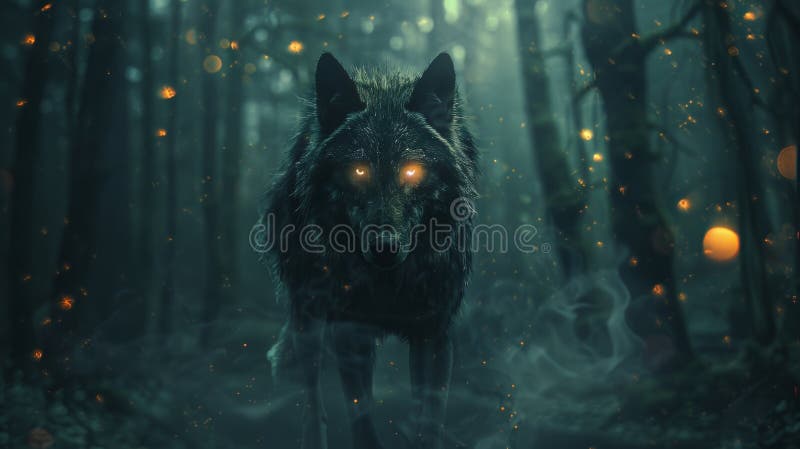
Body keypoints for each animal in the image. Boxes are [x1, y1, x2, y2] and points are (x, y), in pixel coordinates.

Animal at [259, 52, 478, 449]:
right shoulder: (351, 333)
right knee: (312, 400)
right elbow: (362, 423)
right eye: (359, 171)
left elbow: (429, 424)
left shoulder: (434, 334)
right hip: (307, 317)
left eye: (412, 170)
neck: (387, 285)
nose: (384, 247)